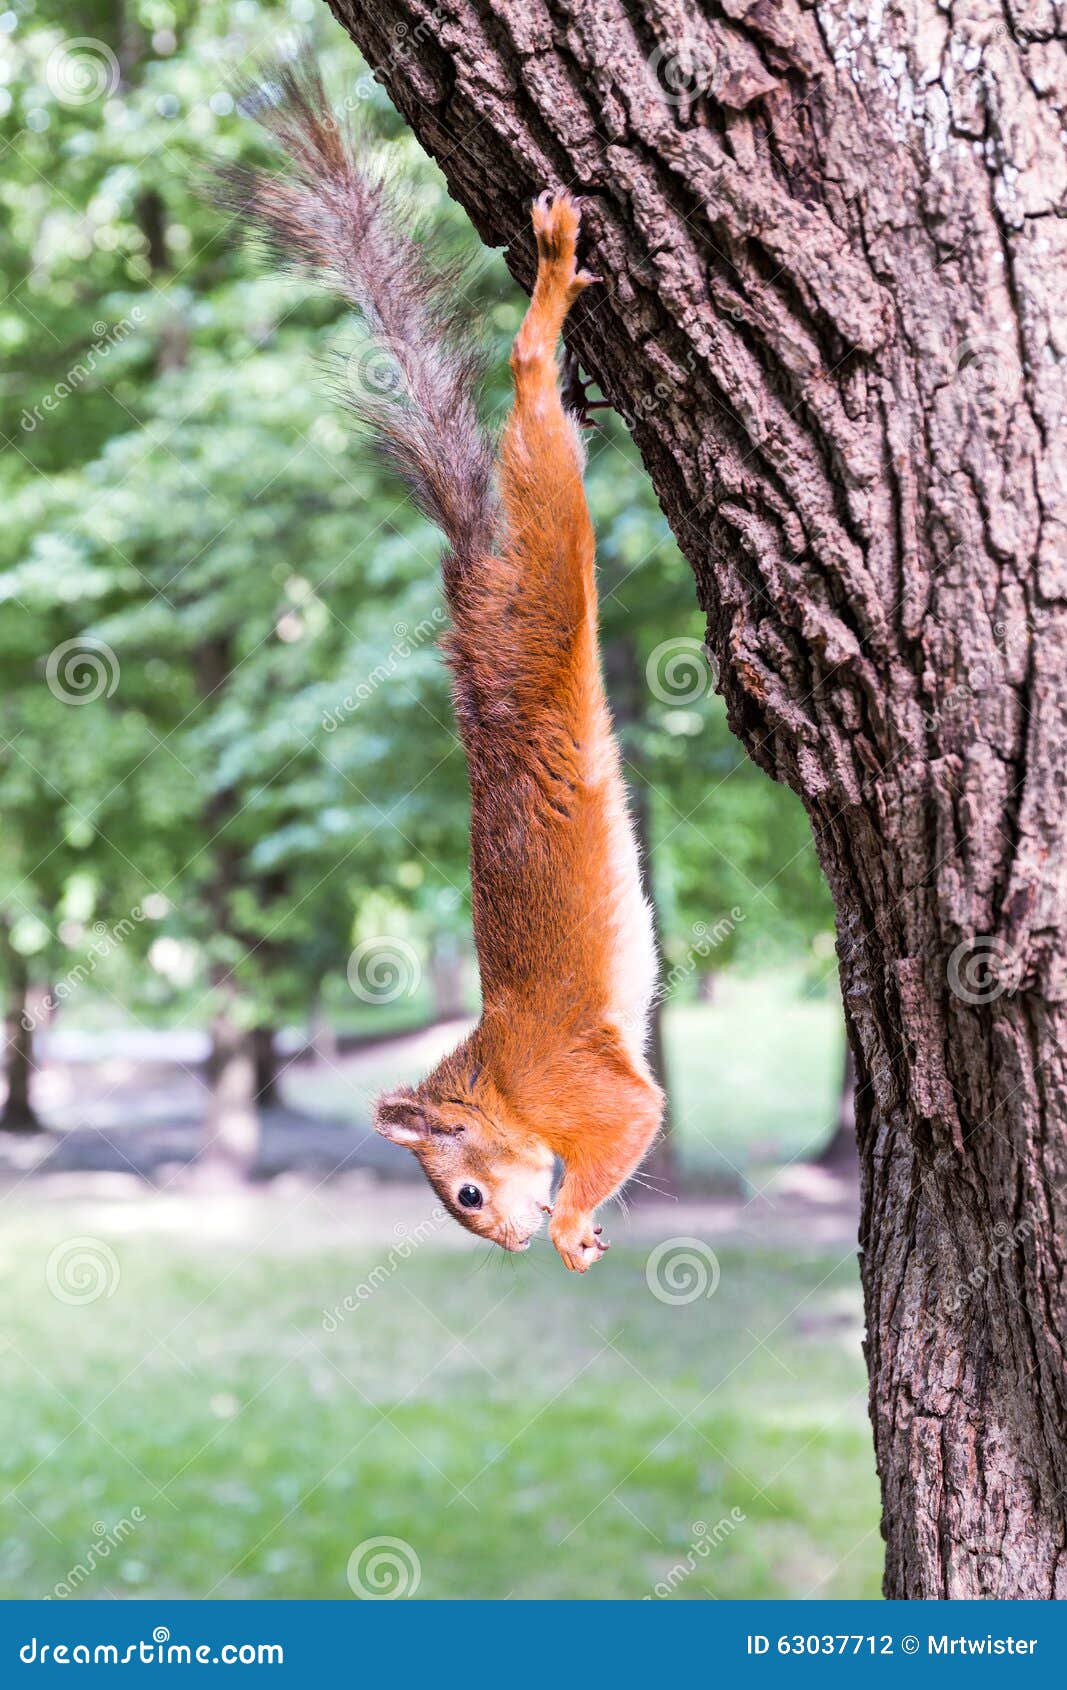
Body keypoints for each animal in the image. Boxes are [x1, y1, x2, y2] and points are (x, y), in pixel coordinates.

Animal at [231, 59, 664, 1270]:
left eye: (464, 1194)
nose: (505, 1245)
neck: (502, 1088)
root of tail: (474, 582)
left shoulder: (583, 1087)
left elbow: (635, 1119)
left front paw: (570, 1227)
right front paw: (572, 1233)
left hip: (548, 567)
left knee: (531, 396)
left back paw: (552, 284)